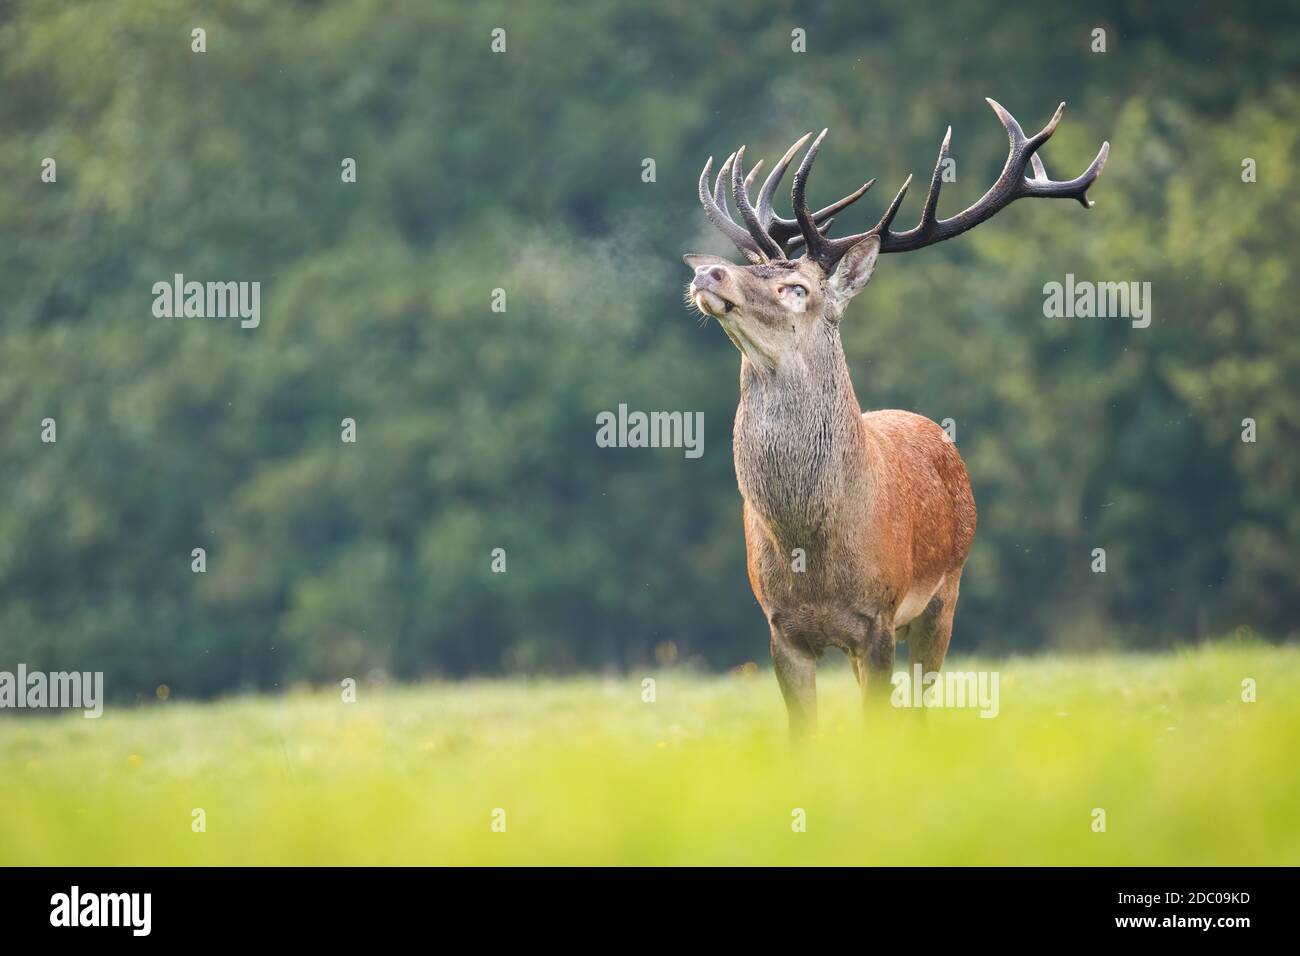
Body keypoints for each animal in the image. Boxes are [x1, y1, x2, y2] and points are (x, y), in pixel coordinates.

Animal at [683, 99, 1108, 736]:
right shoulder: (780, 628)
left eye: (797, 288)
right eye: (748, 266)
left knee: (921, 706)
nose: (708, 274)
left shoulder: (877, 617)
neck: (809, 550)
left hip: (944, 595)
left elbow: (880, 730)